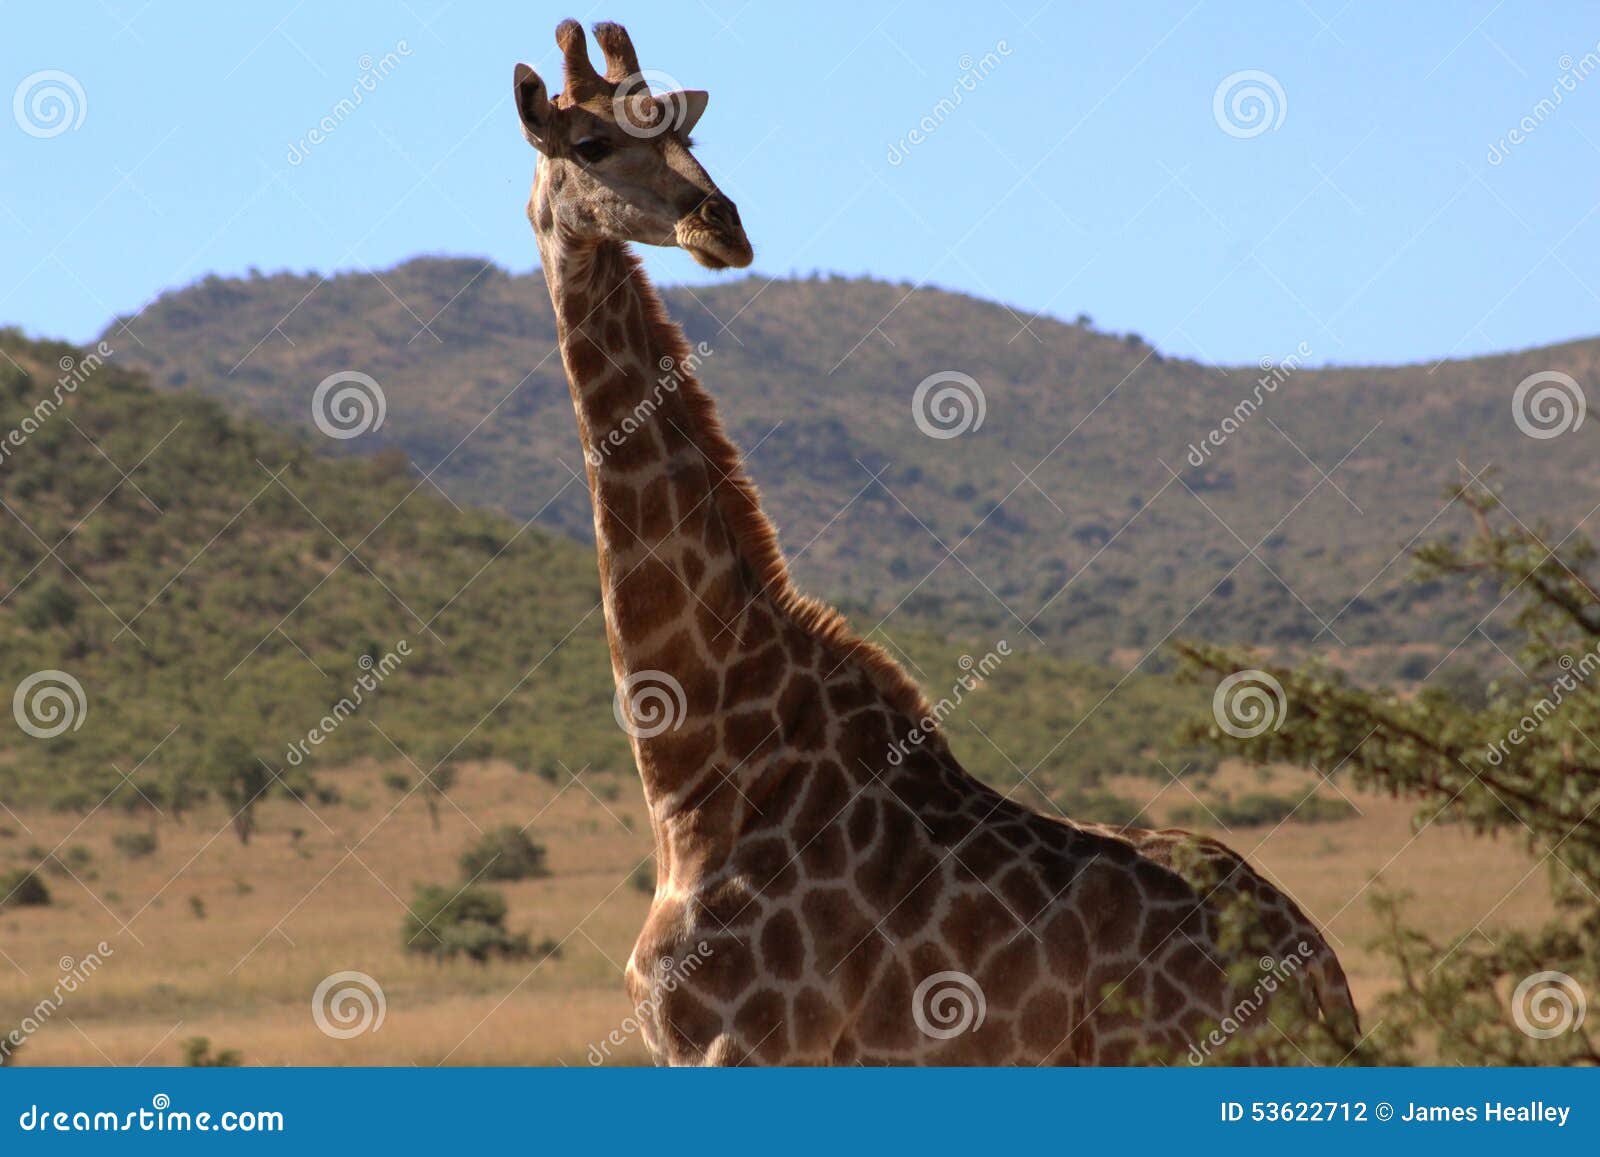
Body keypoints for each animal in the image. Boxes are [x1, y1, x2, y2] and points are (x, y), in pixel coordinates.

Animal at [515, 19, 1355, 1064]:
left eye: (686, 134)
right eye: (591, 144)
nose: (723, 225)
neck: (697, 776)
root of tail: (1320, 966)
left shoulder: (748, 1043)